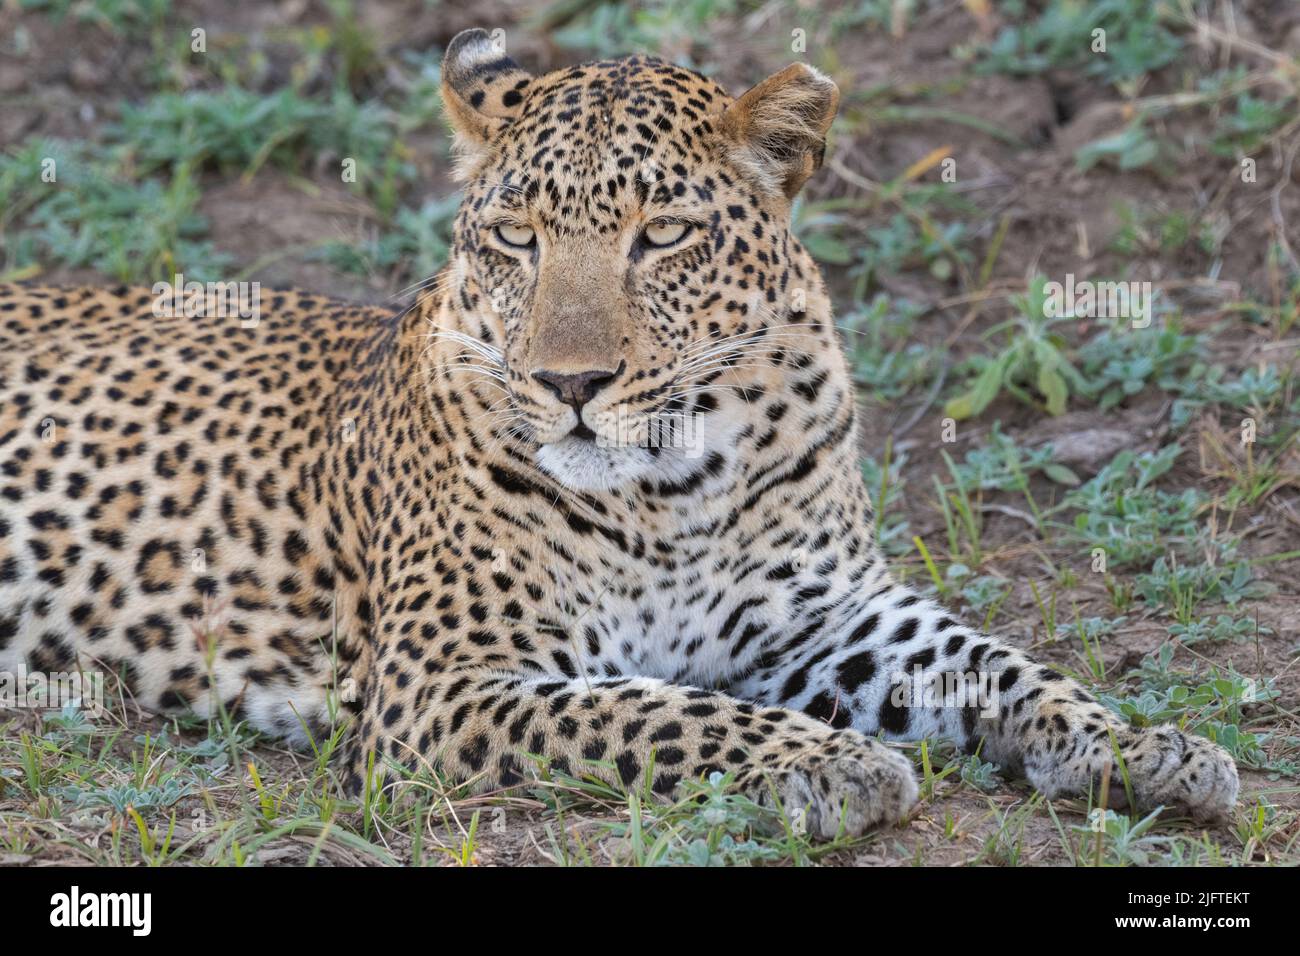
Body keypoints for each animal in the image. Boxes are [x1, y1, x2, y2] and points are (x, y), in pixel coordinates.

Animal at [0, 29, 1238, 840]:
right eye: (515, 238)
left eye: (665, 234)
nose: (572, 381)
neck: (675, 478)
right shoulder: (446, 682)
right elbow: (658, 708)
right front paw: (835, 760)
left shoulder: (833, 611)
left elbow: (1003, 663)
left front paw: (1152, 745)